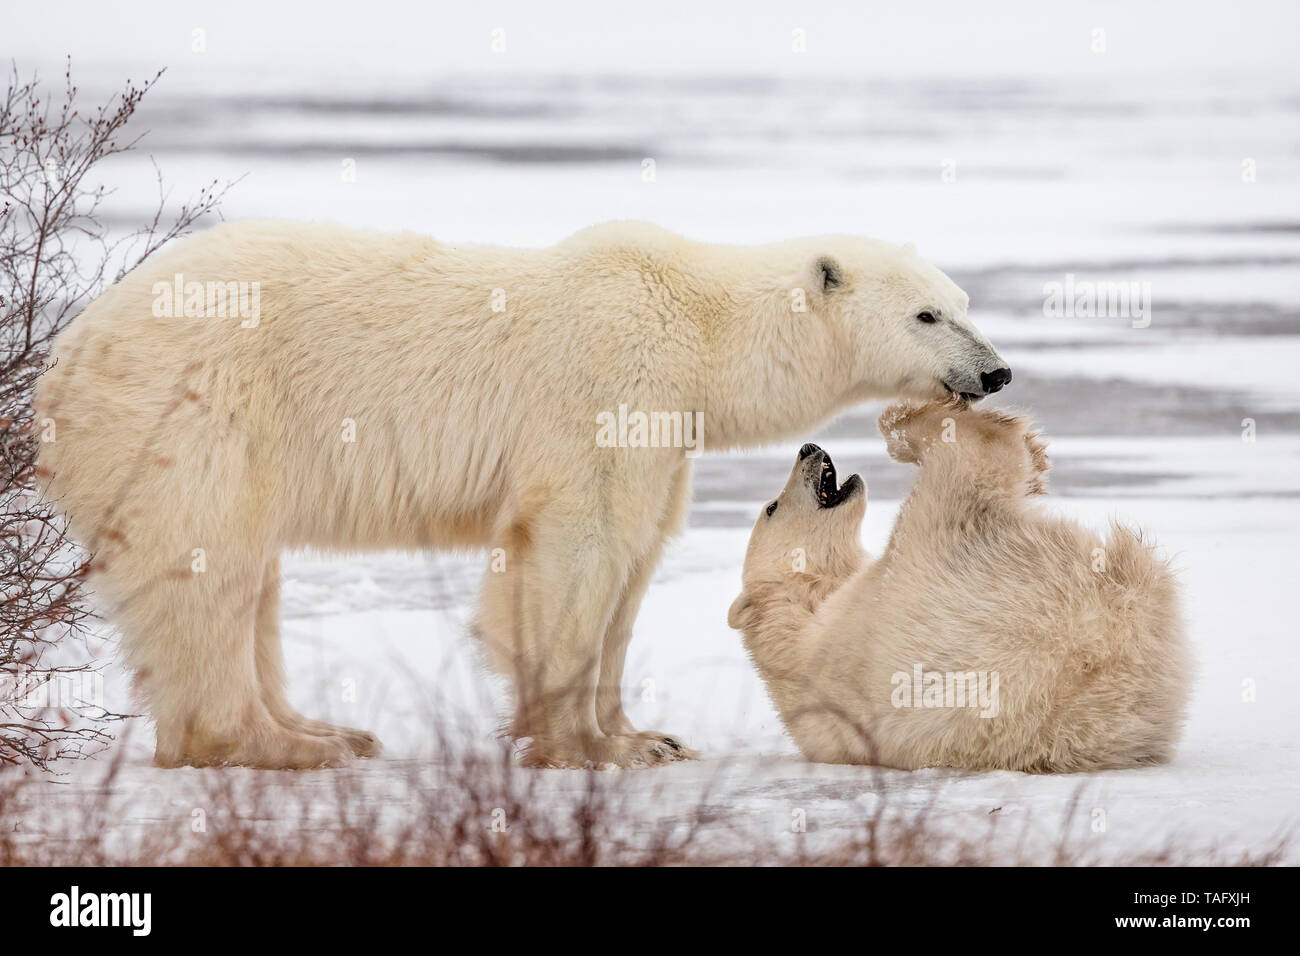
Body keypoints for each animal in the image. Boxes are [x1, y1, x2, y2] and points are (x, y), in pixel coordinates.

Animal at [34, 220, 1010, 770]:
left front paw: (646, 737)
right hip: (193, 415)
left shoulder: (665, 437)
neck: (698, 330)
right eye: (927, 315)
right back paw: (276, 746)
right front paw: (585, 750)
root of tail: (64, 362)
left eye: (965, 301)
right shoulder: (609, 390)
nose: (997, 371)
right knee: (207, 572)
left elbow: (634, 564)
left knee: (248, 583)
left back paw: (326, 731)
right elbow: (578, 554)